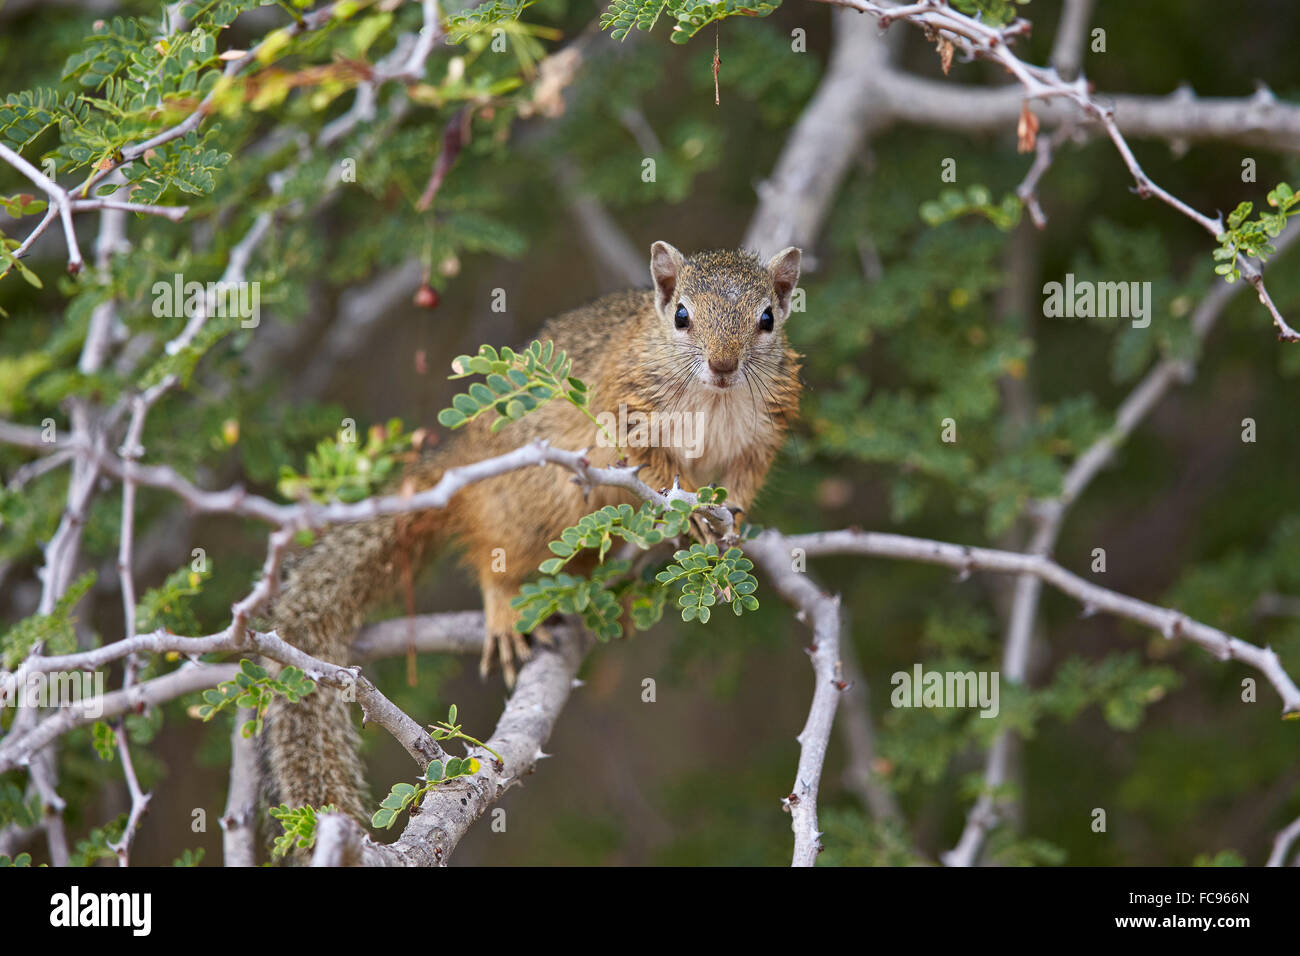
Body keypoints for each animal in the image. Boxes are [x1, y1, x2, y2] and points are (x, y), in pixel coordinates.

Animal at [264, 241, 803, 824]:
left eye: (767, 319)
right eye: (681, 315)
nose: (724, 365)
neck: (715, 400)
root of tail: (461, 463)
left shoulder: (763, 434)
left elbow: (742, 484)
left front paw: (728, 525)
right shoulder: (626, 404)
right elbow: (652, 465)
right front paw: (694, 514)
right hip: (530, 507)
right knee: (494, 560)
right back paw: (505, 612)